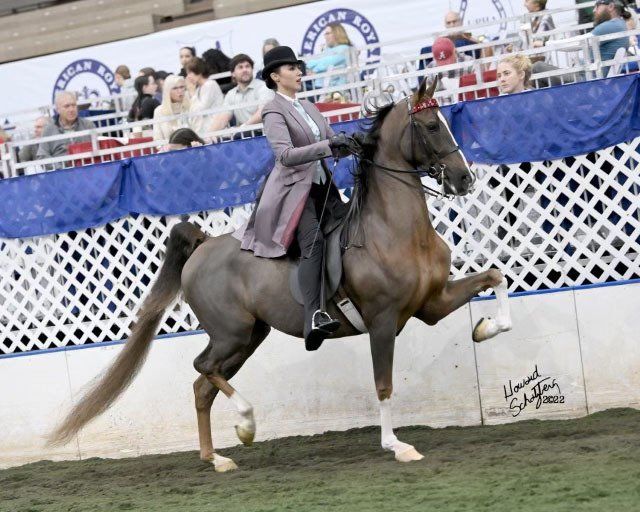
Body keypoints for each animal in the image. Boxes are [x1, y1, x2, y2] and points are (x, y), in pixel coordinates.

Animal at [49, 78, 512, 471]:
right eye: (432, 126)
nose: (464, 178)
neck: (394, 229)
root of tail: (202, 246)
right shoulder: (382, 321)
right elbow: (383, 384)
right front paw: (396, 446)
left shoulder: (432, 304)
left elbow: (496, 277)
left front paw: (486, 328)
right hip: (232, 334)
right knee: (203, 368)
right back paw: (246, 423)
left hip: (249, 337)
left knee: (202, 386)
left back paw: (216, 457)